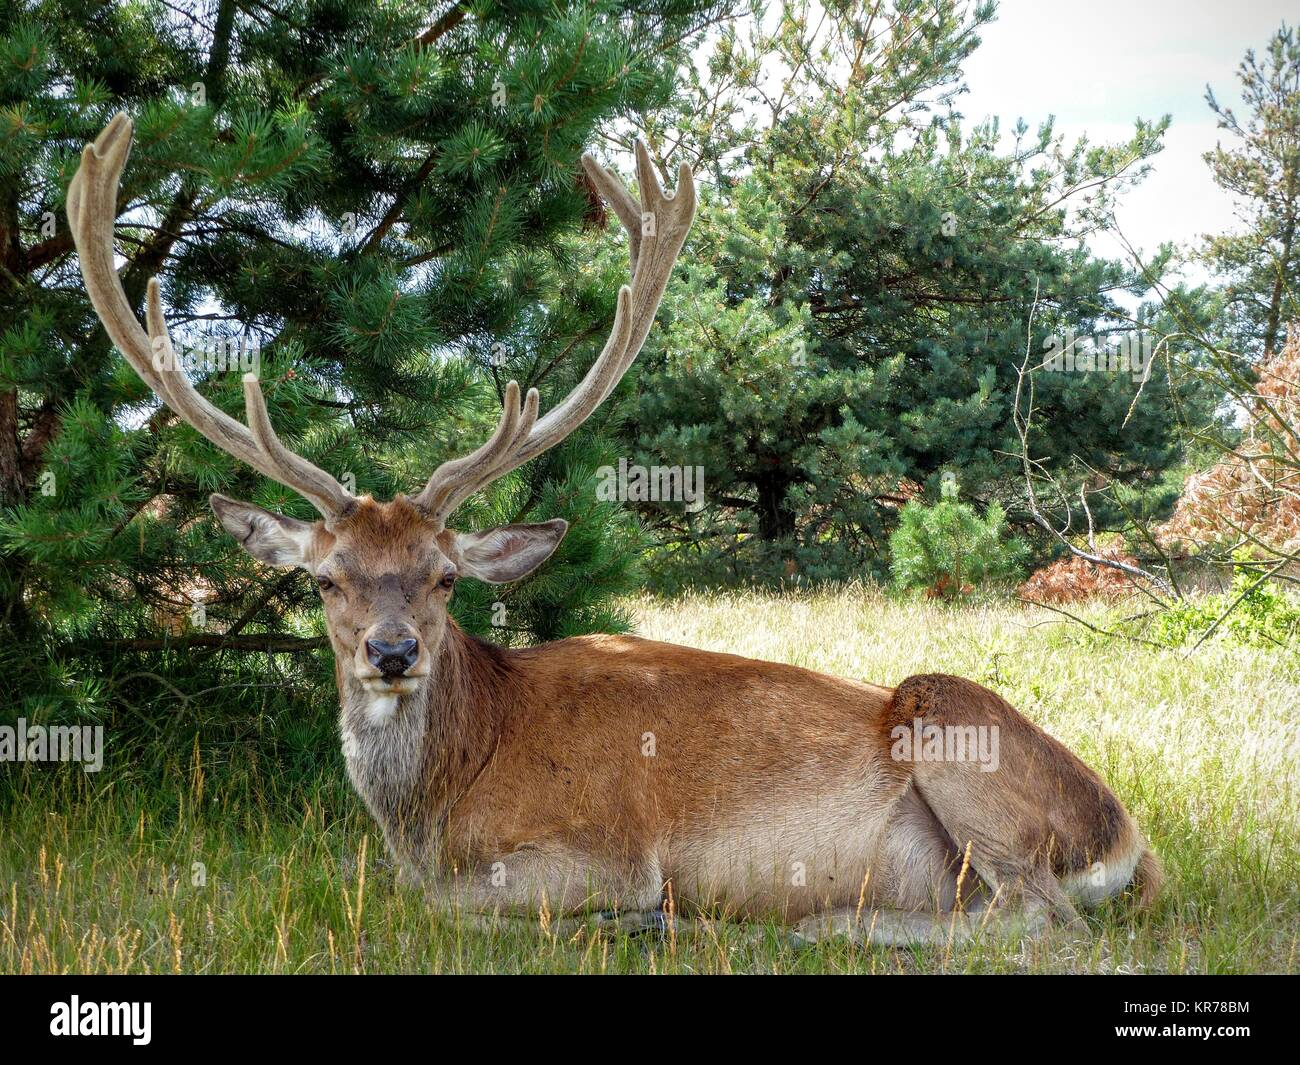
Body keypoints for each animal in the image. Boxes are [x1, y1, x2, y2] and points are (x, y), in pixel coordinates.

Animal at [68, 113, 1161, 946]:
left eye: (445, 577)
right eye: (325, 578)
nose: (392, 652)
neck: (439, 805)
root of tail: (1127, 840)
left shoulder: (597, 848)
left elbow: (444, 906)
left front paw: (641, 915)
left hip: (952, 729)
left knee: (1042, 917)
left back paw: (801, 925)